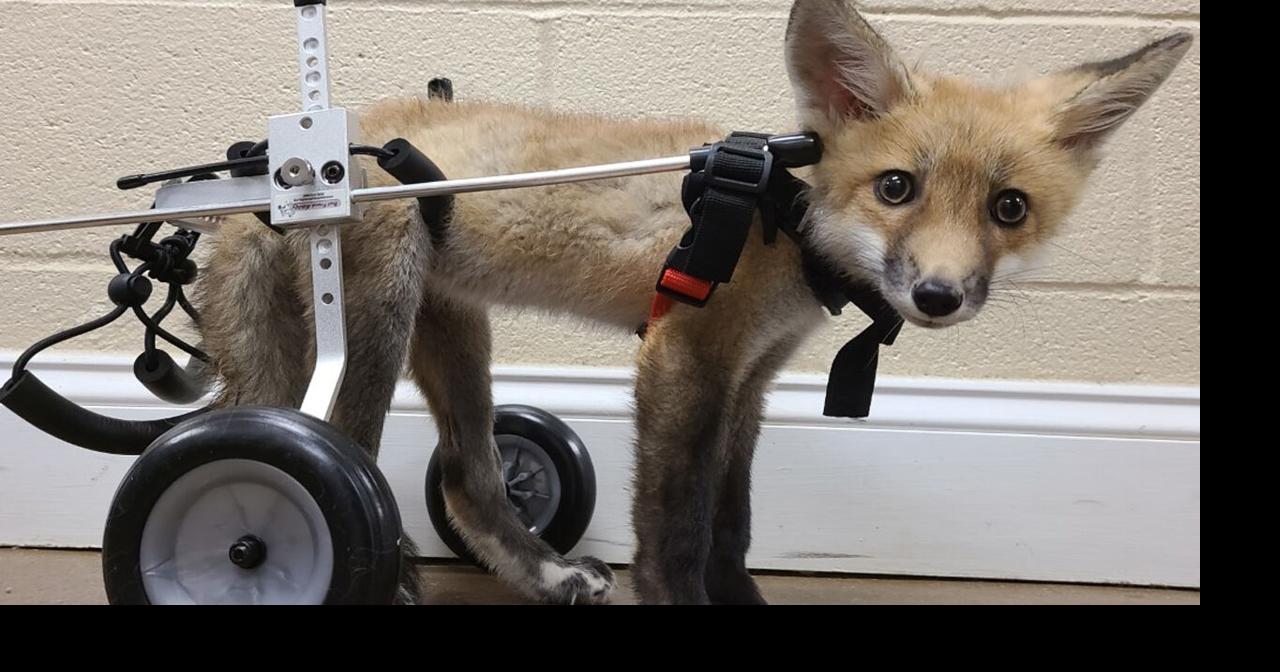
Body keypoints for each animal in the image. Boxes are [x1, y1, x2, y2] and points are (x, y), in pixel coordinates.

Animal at [194, 0, 1194, 604]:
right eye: (897, 188)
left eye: (1008, 209)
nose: (939, 296)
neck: (779, 218)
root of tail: (275, 163)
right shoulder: (679, 359)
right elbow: (674, 531)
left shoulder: (750, 380)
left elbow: (730, 522)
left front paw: (741, 600)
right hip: (373, 330)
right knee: (335, 451)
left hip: (454, 335)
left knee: (469, 484)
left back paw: (544, 573)